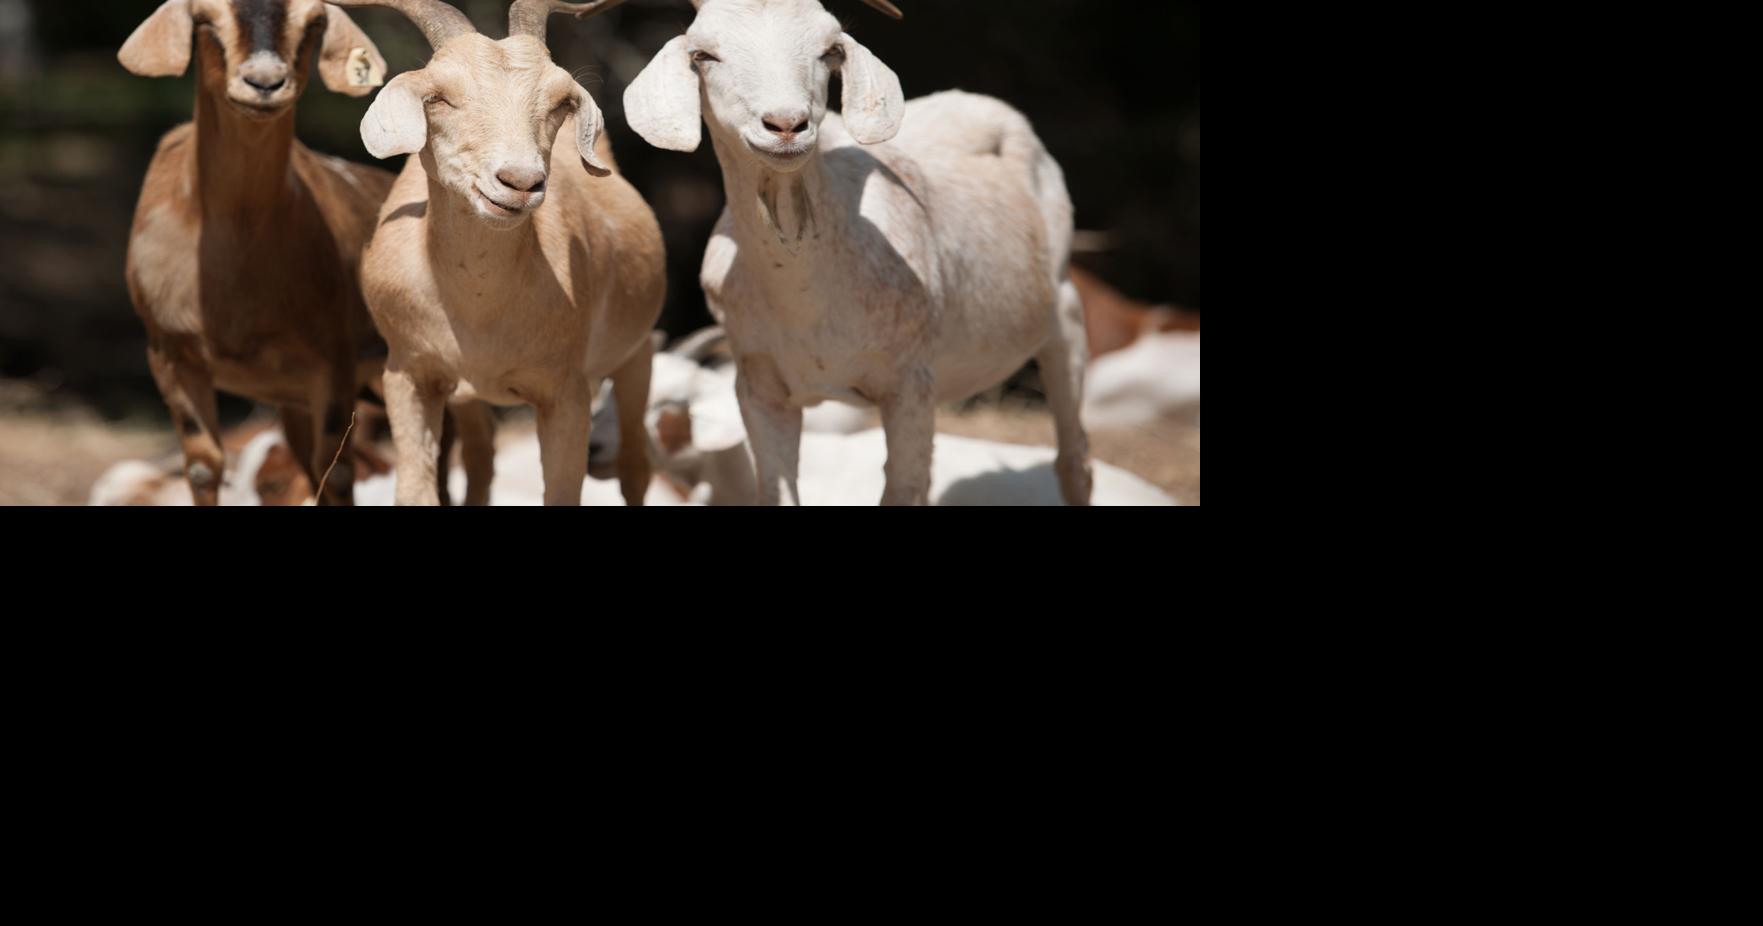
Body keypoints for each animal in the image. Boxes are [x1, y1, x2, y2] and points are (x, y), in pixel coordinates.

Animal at [120, 0, 414, 505]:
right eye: (203, 19)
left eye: (314, 21)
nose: (264, 82)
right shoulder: (172, 356)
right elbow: (204, 466)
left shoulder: (334, 364)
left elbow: (337, 470)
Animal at [335, 0, 665, 506]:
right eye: (439, 96)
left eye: (559, 102)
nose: (520, 182)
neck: (478, 315)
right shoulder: (409, 374)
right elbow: (416, 490)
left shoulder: (565, 393)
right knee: (481, 463)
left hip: (636, 356)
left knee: (634, 468)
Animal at [623, 0, 1092, 505]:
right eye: (703, 55)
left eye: (830, 50)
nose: (786, 126)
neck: (806, 300)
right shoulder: (760, 392)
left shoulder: (909, 387)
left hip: (1064, 320)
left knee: (1074, 461)